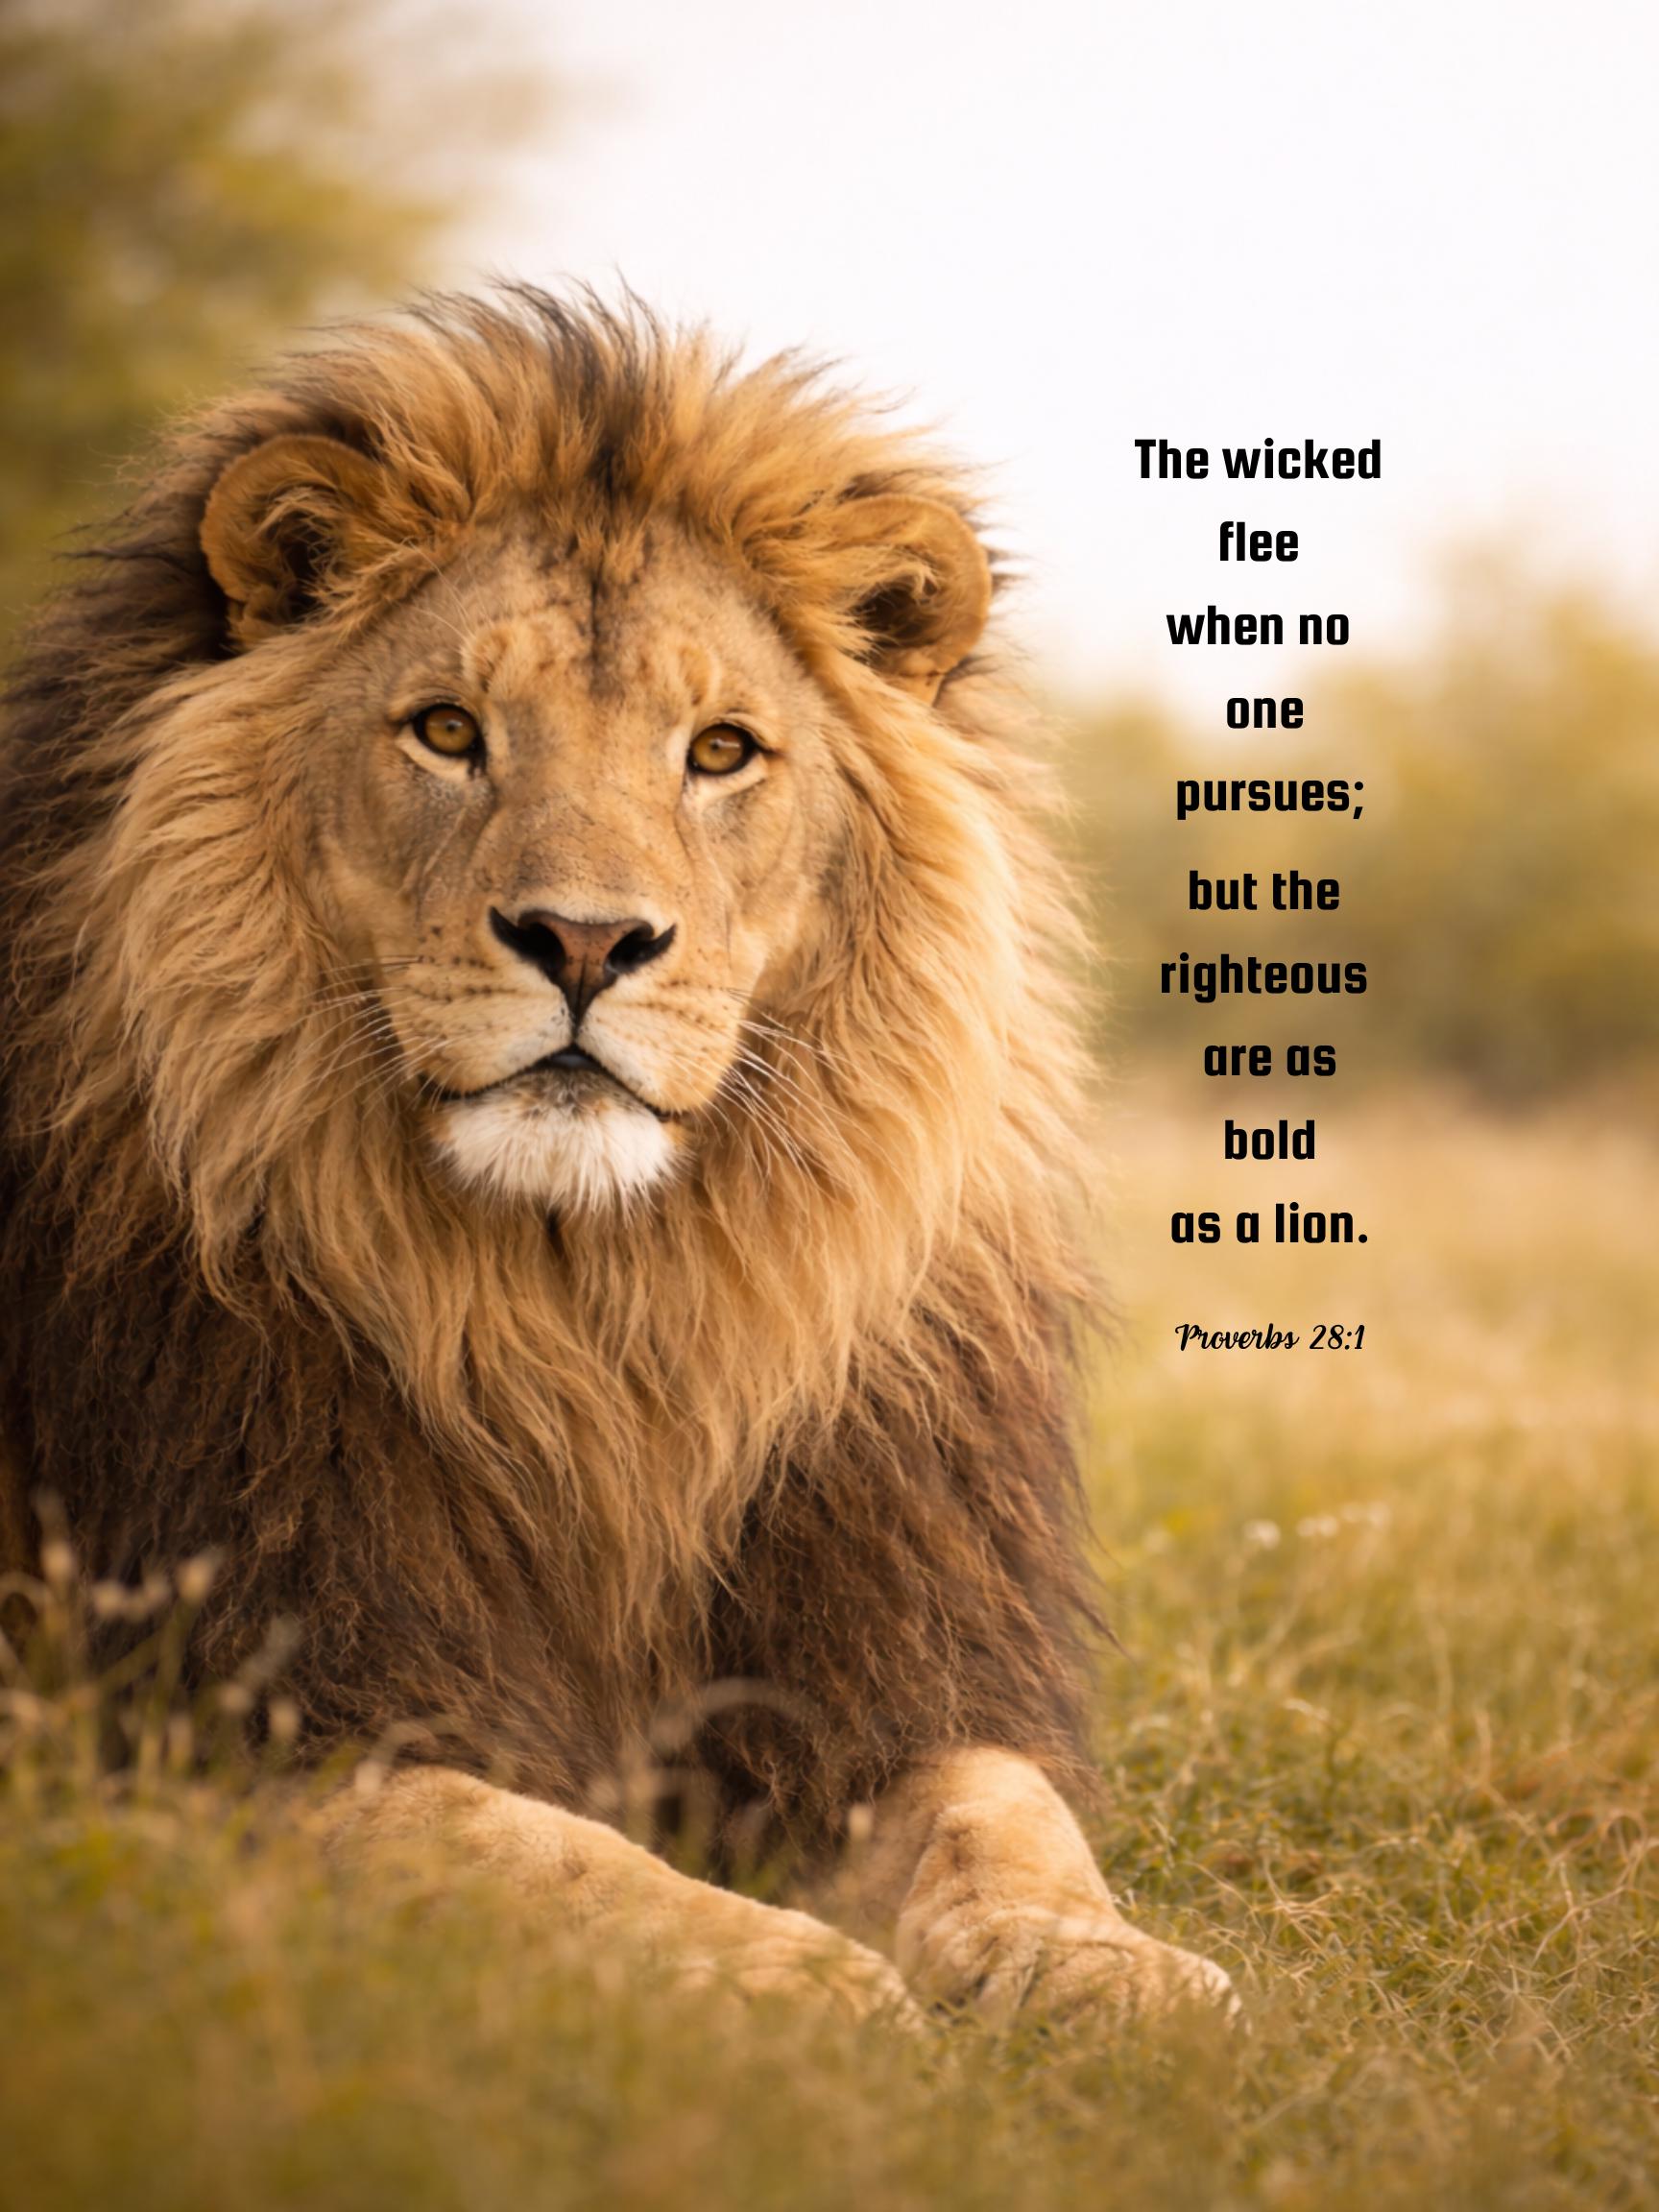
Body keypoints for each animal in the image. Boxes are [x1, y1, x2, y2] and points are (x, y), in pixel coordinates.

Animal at [0, 289, 1233, 2029]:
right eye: (448, 731)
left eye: (719, 751)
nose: (584, 940)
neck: (602, 1328)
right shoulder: (246, 1724)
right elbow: (520, 1846)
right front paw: (803, 1975)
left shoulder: (879, 1665)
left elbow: (1001, 1814)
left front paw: (1104, 1968)